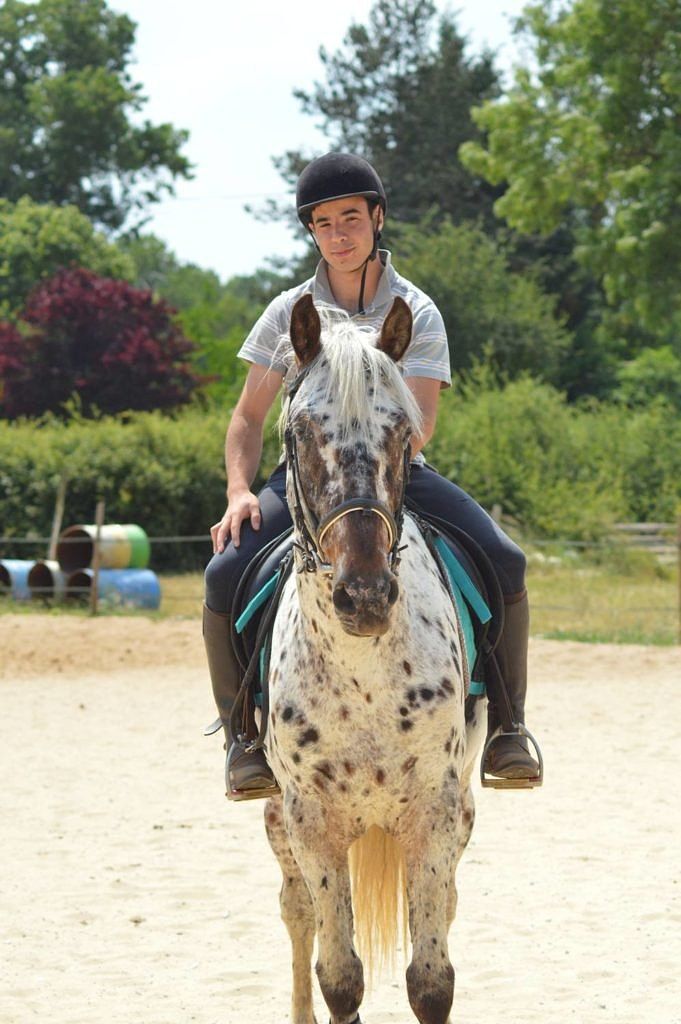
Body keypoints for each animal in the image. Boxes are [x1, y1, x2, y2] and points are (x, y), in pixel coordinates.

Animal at [262, 293, 486, 1024]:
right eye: (301, 432)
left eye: (401, 434)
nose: (363, 595)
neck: (363, 676)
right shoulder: (311, 821)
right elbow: (339, 976)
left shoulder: (435, 814)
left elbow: (431, 981)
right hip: (277, 820)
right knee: (297, 912)